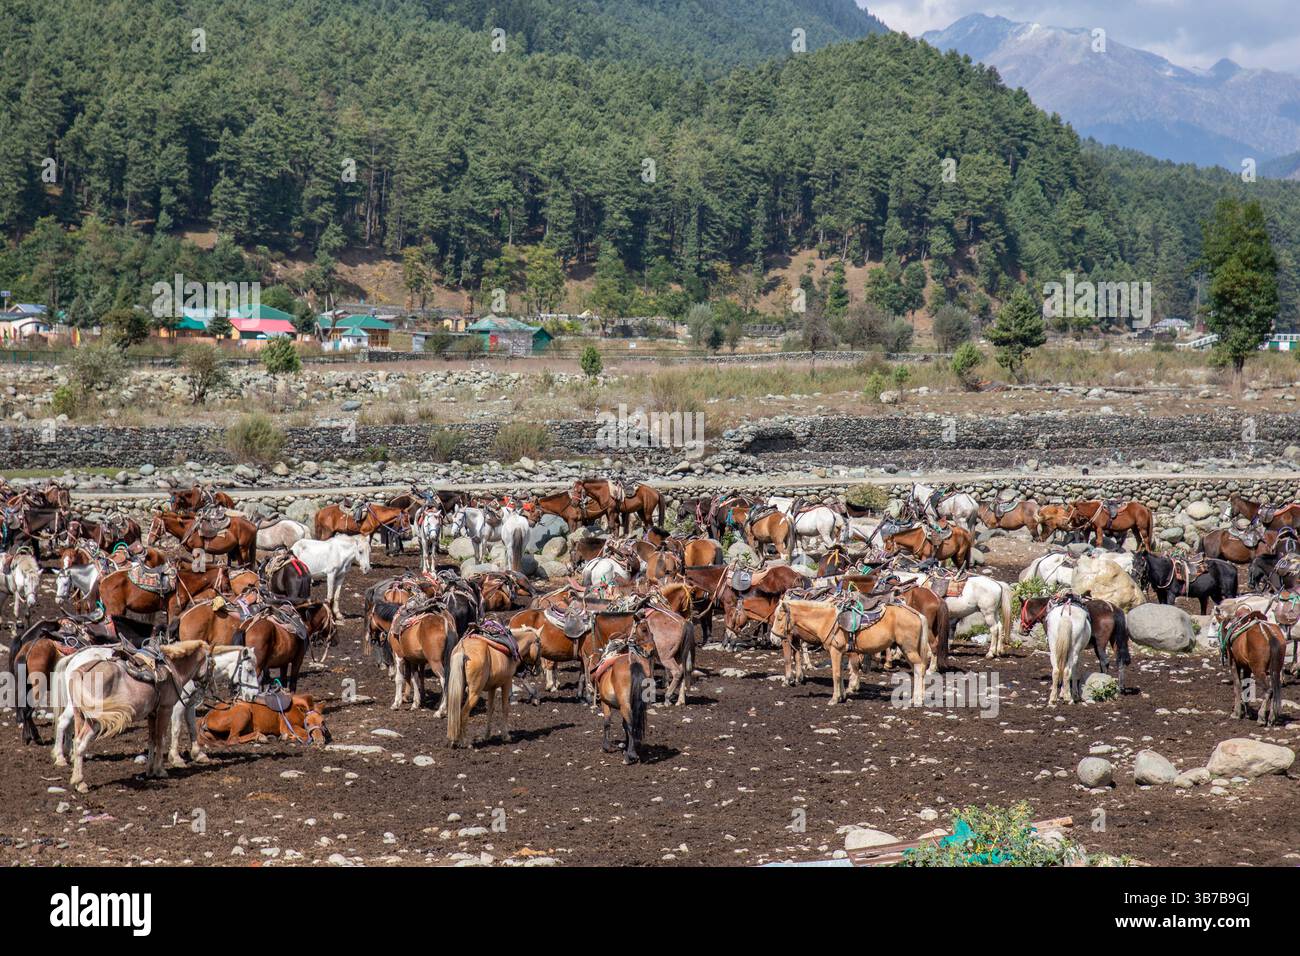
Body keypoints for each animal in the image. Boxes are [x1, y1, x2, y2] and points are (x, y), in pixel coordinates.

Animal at [64, 640, 212, 792]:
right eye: (211, 662)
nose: (205, 684)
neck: (172, 668)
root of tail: (82, 671)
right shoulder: (165, 709)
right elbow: (161, 739)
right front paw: (160, 770)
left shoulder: (152, 713)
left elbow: (152, 740)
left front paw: (150, 771)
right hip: (95, 720)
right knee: (80, 742)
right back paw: (80, 782)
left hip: (79, 715)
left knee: (76, 741)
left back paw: (77, 780)